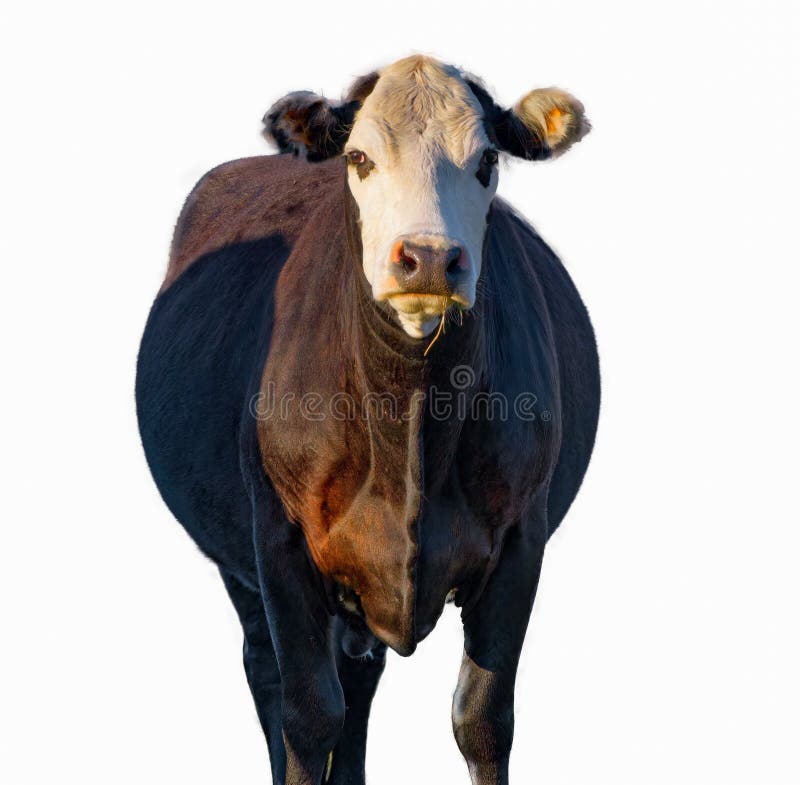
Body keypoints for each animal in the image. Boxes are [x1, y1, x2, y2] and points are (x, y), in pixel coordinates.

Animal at [136, 55, 600, 785]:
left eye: (486, 159)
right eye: (359, 157)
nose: (429, 257)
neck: (409, 417)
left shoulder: (522, 537)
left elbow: (483, 718)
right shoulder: (279, 542)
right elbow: (306, 713)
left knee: (359, 682)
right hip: (239, 561)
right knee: (270, 674)